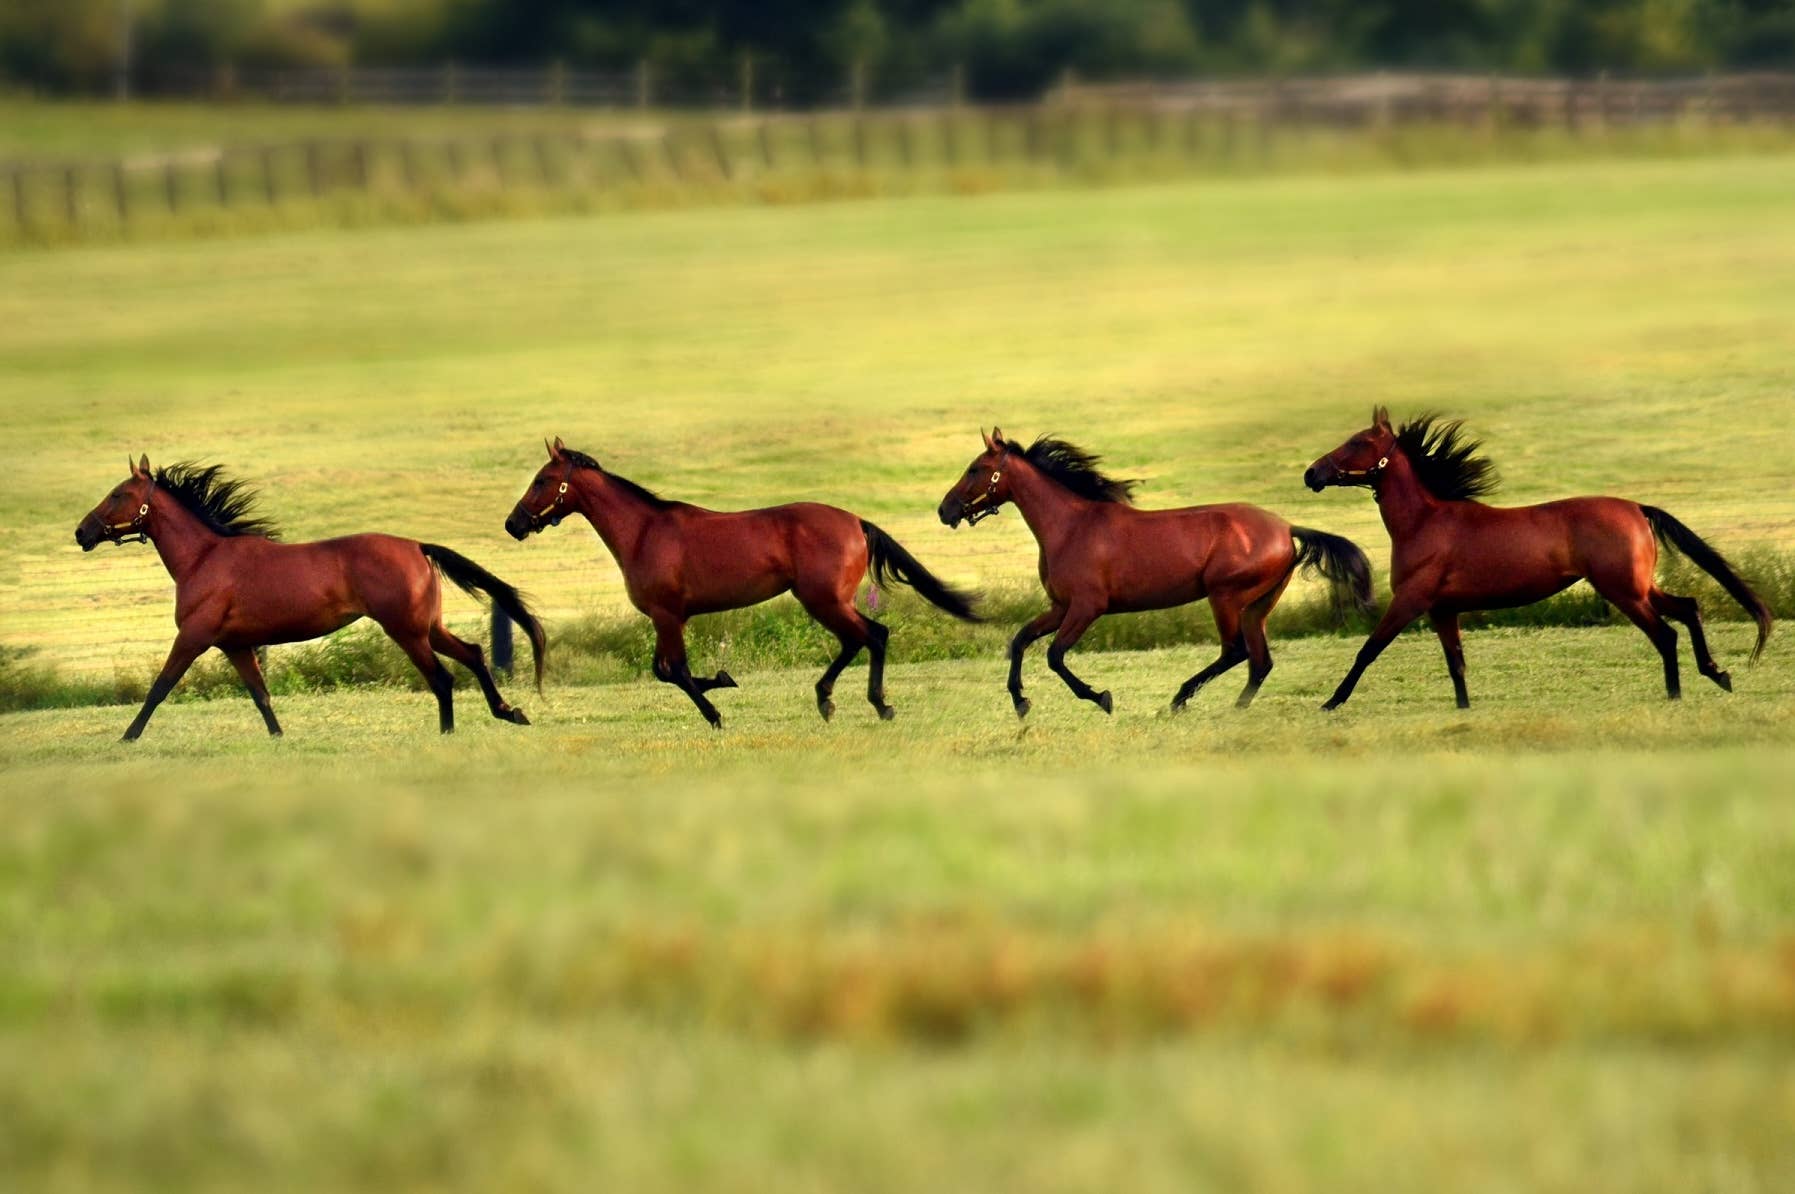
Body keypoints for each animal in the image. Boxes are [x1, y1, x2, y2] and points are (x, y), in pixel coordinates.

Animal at [76, 456, 545, 740]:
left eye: (118, 494)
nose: (82, 532)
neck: (203, 558)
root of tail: (416, 546)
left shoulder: (194, 637)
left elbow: (160, 687)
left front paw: (127, 737)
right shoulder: (235, 645)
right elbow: (260, 694)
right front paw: (279, 737)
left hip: (407, 631)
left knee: (443, 678)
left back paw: (449, 732)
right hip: (428, 627)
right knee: (474, 654)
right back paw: (510, 712)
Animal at [505, 437, 980, 727]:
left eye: (543, 480)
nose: (513, 524)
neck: (643, 532)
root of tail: (856, 522)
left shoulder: (667, 615)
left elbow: (676, 671)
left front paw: (715, 711)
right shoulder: (666, 618)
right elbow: (662, 671)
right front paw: (722, 679)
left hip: (823, 600)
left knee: (873, 636)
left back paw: (874, 704)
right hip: (825, 601)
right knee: (859, 639)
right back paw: (829, 698)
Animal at [937, 429, 1374, 716]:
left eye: (975, 469)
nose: (945, 510)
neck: (1070, 526)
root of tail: (1286, 528)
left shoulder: (1087, 607)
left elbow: (1055, 656)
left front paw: (1102, 698)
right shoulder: (1061, 607)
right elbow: (1020, 641)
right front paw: (1021, 701)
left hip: (1225, 597)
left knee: (1236, 651)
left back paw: (1179, 700)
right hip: (1258, 605)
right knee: (1260, 661)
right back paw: (1234, 709)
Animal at [1303, 408, 1773, 709]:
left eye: (1358, 441)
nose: (1311, 474)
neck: (1424, 523)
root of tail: (1637, 508)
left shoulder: (1411, 601)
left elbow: (1368, 650)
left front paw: (1331, 702)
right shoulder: (1442, 609)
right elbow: (1457, 664)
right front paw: (1464, 710)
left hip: (1623, 591)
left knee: (1665, 633)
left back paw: (1676, 693)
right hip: (1638, 586)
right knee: (1689, 609)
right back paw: (1717, 673)